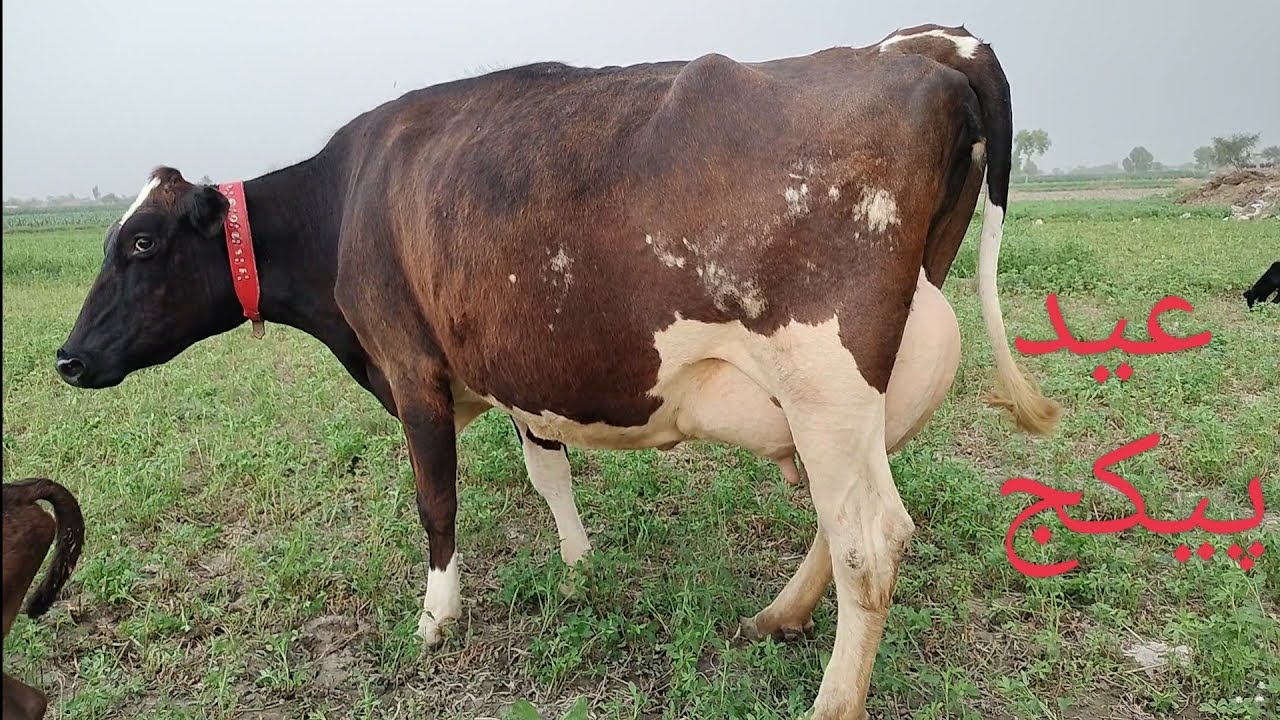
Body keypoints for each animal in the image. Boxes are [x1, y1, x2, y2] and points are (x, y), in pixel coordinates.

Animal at [55, 23, 1060, 717]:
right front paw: (579, 568)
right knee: (845, 518)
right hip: (862, 386)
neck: (345, 203)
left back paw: (831, 699)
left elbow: (436, 501)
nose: (68, 358)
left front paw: (437, 618)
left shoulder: (412, 365)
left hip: (825, 370)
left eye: (140, 244)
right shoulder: (515, 369)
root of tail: (919, 52)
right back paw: (779, 616)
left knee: (871, 540)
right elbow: (549, 472)